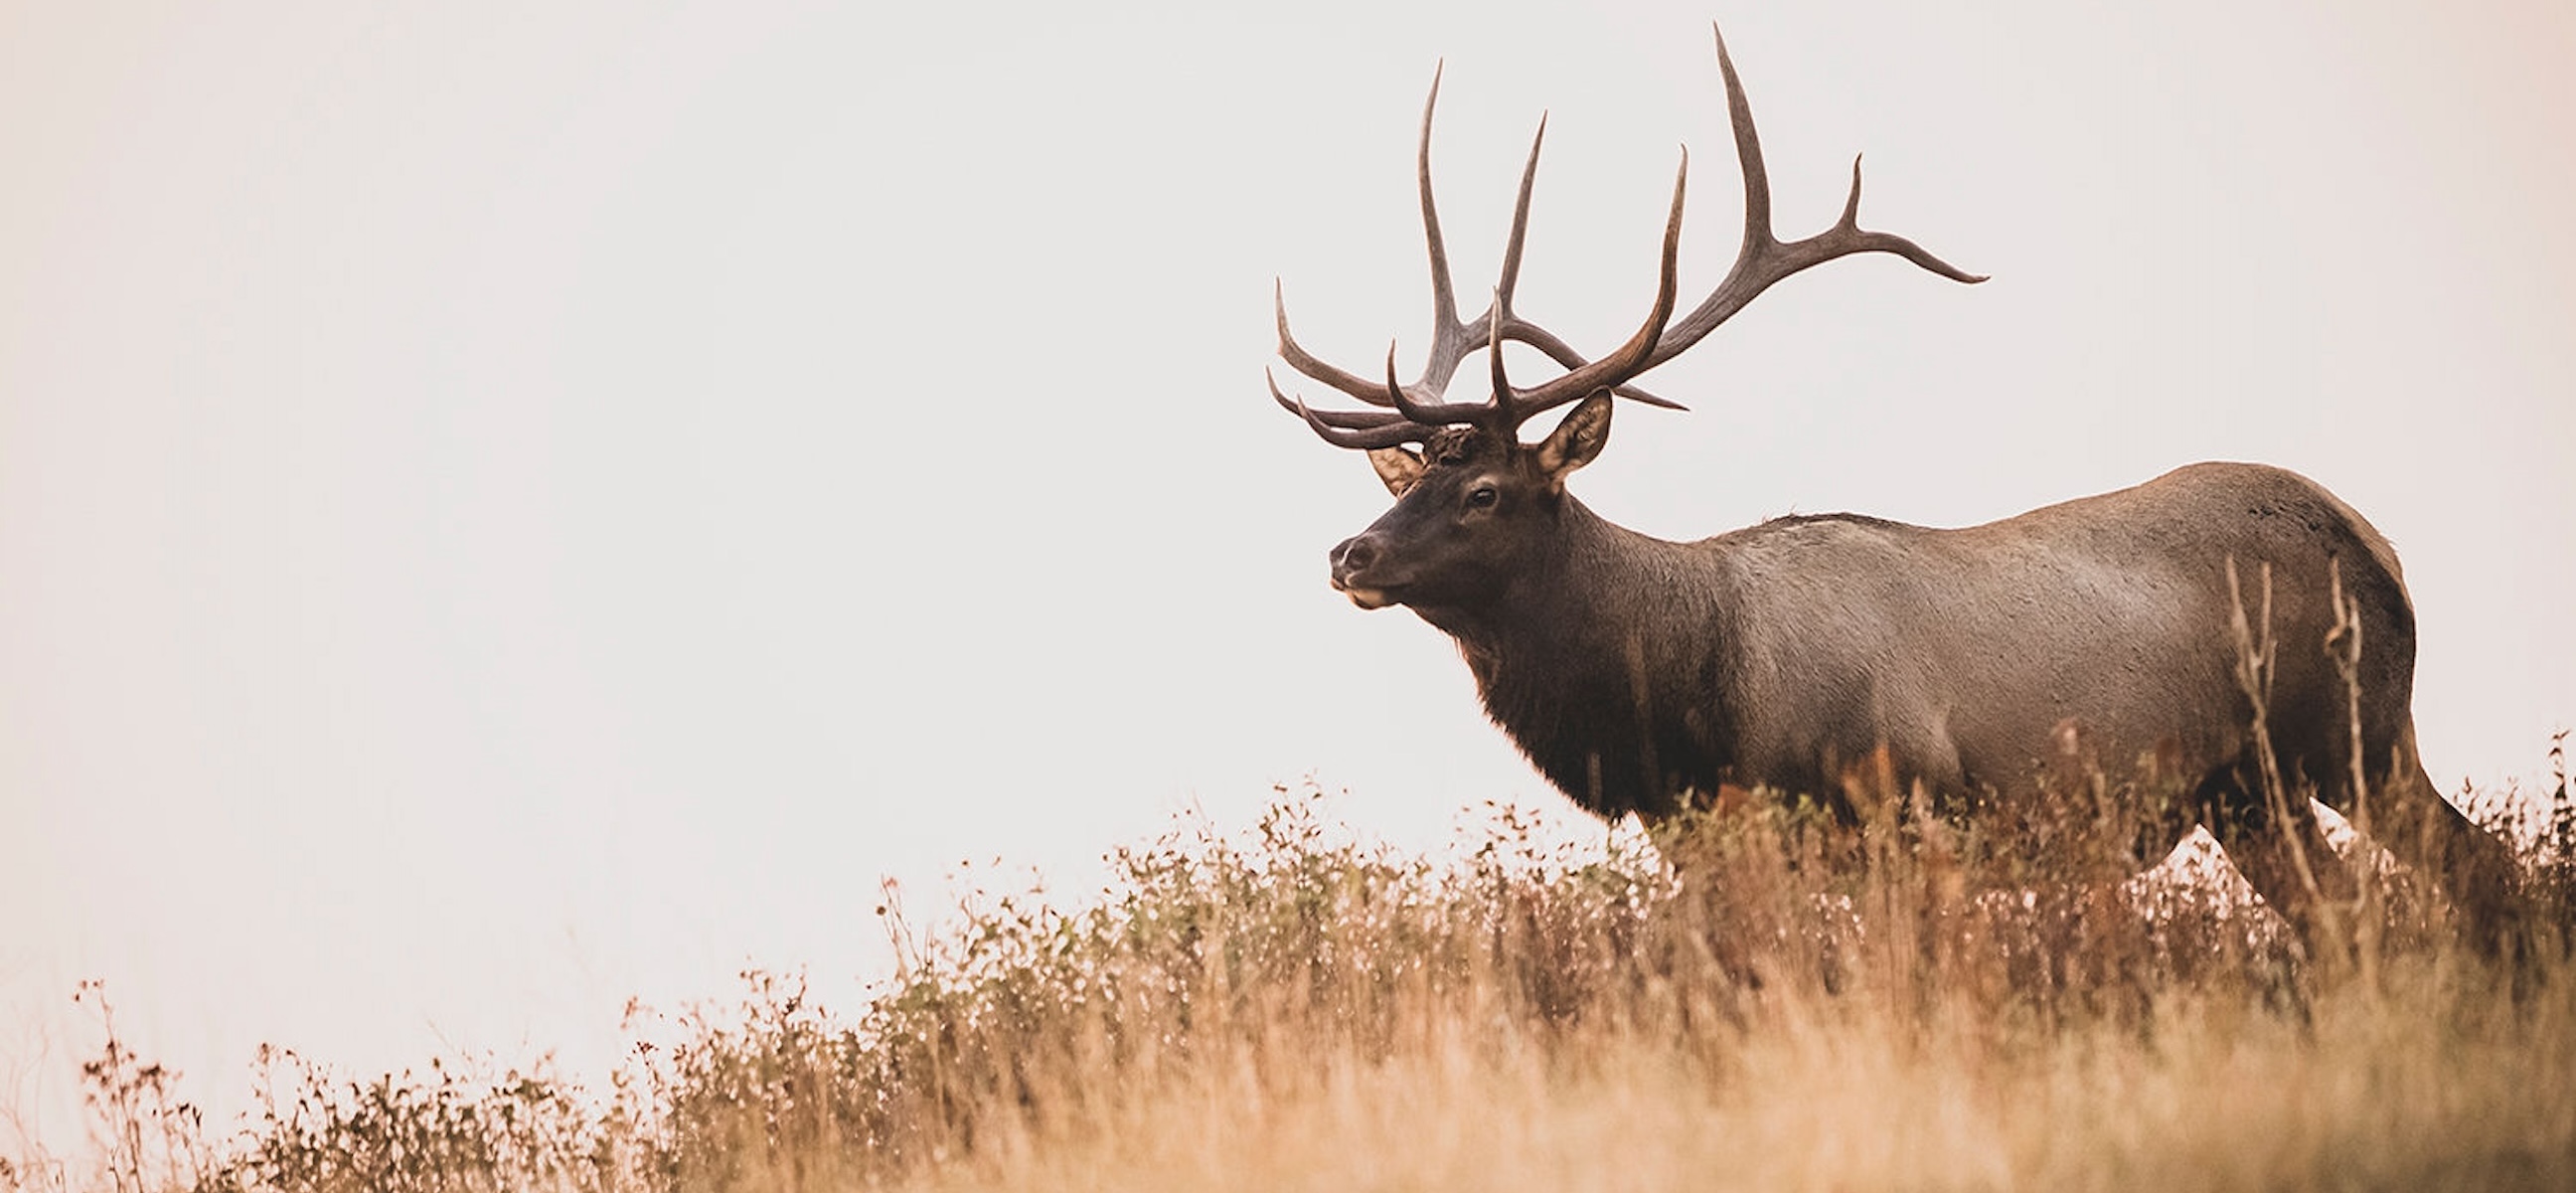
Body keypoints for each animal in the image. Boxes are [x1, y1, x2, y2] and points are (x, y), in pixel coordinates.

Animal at [1266, 25, 2524, 952]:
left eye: (1483, 492)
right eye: (1413, 478)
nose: (1348, 554)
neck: (1688, 706)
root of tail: (2373, 538)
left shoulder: (1903, 809)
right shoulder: (1714, 850)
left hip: (2356, 729)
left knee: (2484, 861)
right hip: (2246, 787)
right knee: (2346, 913)